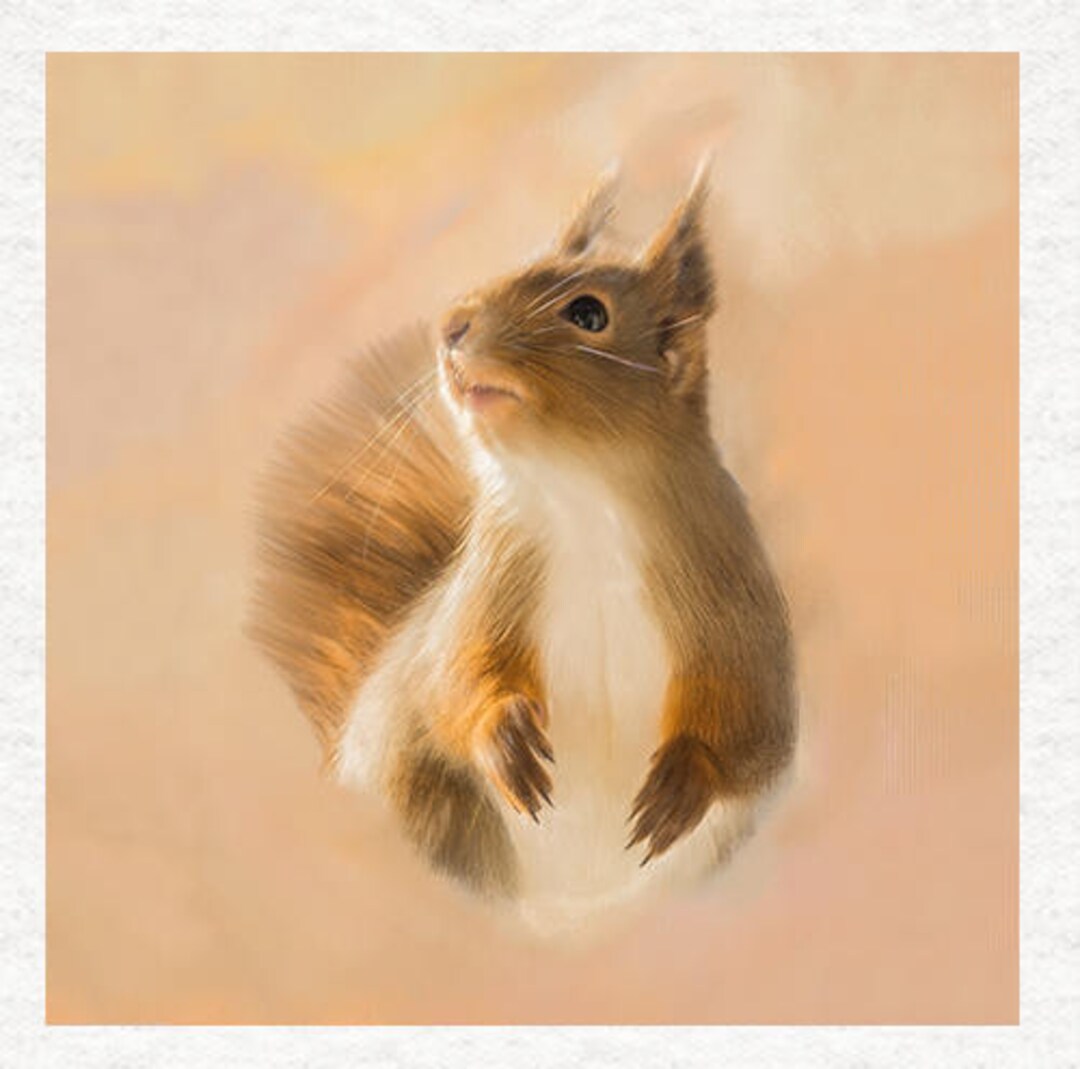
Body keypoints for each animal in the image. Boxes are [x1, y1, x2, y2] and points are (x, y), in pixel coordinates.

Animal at [251, 162, 796, 928]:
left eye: (589, 314)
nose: (450, 325)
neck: (580, 496)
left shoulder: (734, 598)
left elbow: (757, 725)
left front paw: (684, 781)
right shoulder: (484, 587)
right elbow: (452, 682)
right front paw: (503, 738)